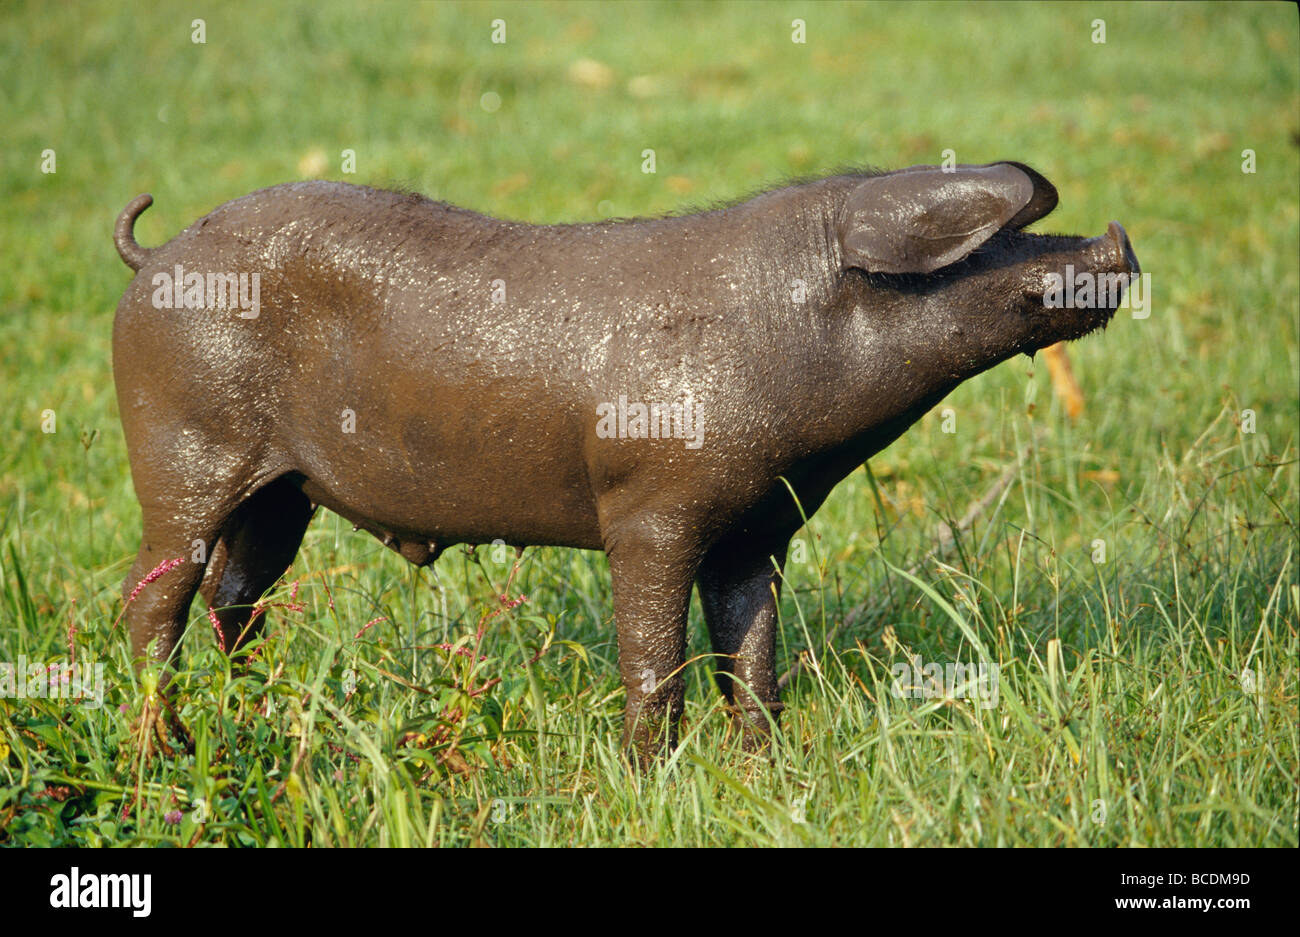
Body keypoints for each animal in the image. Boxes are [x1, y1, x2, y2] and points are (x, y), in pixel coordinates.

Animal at [112, 161, 1139, 762]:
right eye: (981, 237)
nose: (1122, 243)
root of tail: (156, 252)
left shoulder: (759, 525)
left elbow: (750, 649)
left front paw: (768, 766)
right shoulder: (649, 508)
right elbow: (654, 655)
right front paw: (656, 777)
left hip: (284, 495)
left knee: (236, 594)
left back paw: (256, 715)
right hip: (181, 448)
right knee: (152, 596)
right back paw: (166, 748)